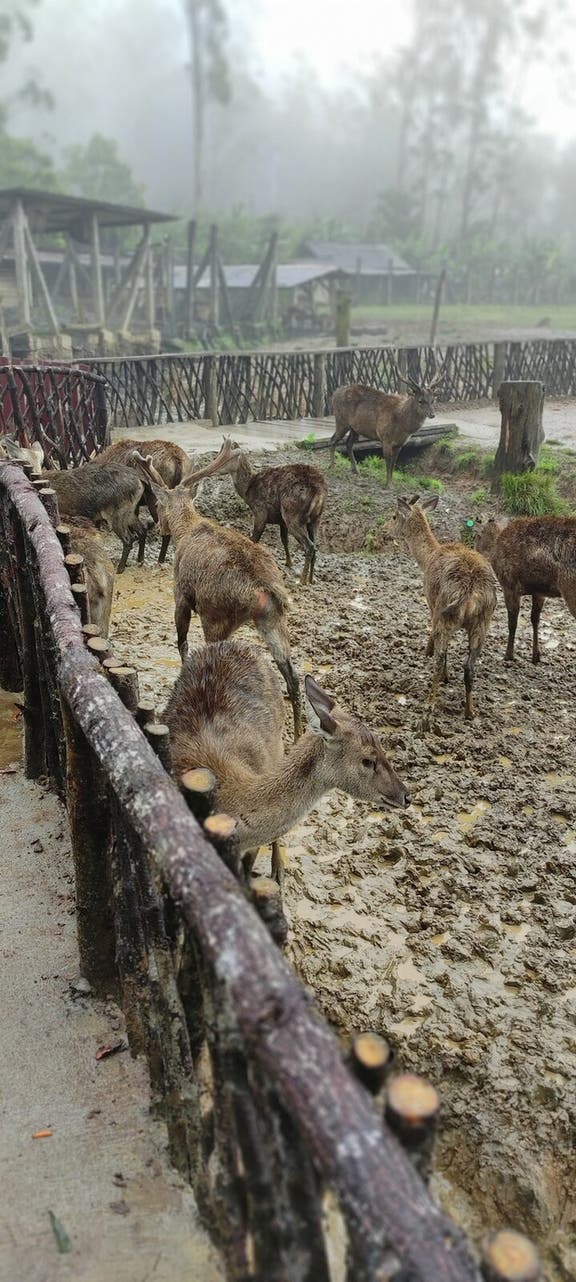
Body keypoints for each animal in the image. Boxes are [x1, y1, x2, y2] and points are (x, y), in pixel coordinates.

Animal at [131, 442, 303, 739]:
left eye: (160, 503)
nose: (160, 526)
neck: (186, 529)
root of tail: (265, 589)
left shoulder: (180, 594)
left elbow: (182, 642)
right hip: (273, 619)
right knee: (293, 677)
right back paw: (299, 734)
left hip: (216, 614)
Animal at [208, 439, 327, 584]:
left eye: (228, 458)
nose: (211, 469)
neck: (248, 491)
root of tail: (318, 492)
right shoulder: (281, 521)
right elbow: (284, 540)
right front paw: (289, 563)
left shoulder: (260, 511)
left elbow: (254, 538)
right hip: (315, 519)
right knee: (315, 546)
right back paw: (311, 579)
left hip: (292, 515)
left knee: (309, 546)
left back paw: (302, 581)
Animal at [387, 494, 497, 729]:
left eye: (393, 516)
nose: (385, 528)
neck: (428, 557)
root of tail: (469, 593)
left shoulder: (431, 603)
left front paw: (428, 653)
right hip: (483, 621)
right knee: (470, 665)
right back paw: (470, 711)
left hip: (445, 613)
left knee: (440, 659)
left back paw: (426, 715)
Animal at [475, 514, 576, 664]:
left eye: (477, 535)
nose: (475, 551)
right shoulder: (539, 592)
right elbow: (535, 619)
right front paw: (536, 656)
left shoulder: (509, 585)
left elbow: (512, 622)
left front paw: (508, 655)